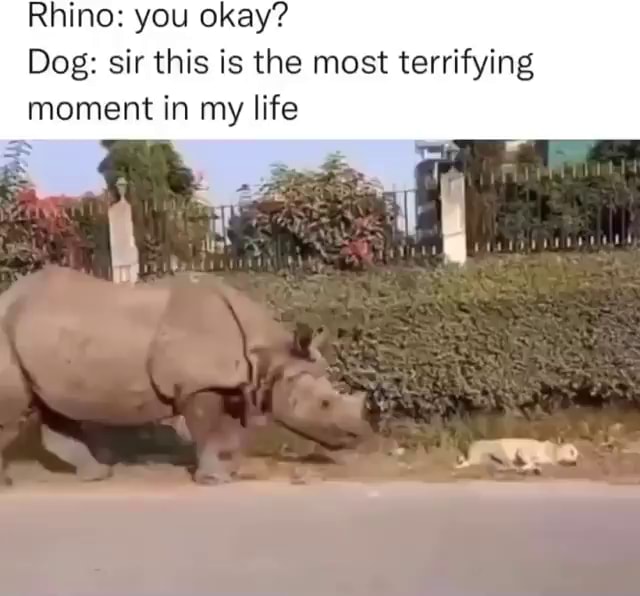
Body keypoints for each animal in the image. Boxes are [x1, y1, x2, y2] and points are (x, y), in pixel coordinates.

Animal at [0, 266, 370, 487]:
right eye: (324, 403)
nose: (358, 435)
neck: (268, 356)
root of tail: (8, 294)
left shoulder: (230, 382)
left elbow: (229, 432)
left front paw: (231, 471)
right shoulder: (198, 385)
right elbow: (207, 429)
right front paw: (214, 479)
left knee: (52, 408)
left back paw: (97, 476)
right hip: (5, 330)